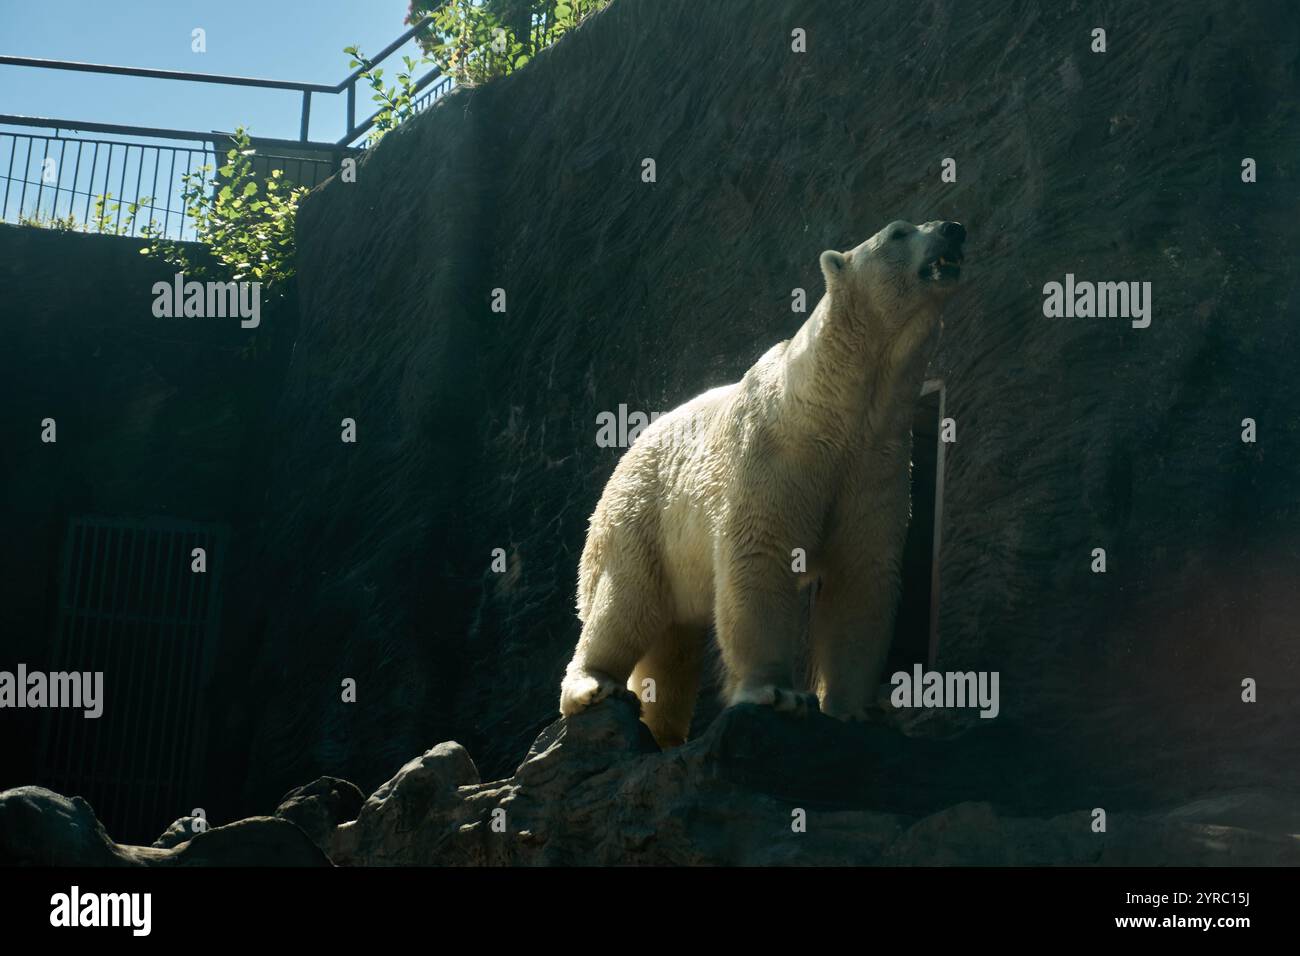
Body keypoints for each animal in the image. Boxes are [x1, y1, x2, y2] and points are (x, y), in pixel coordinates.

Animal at [560, 219, 967, 748]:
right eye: (899, 232)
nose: (953, 229)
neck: (834, 407)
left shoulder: (877, 461)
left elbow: (861, 572)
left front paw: (856, 709)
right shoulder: (777, 450)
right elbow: (761, 551)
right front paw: (776, 694)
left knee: (672, 647)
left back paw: (664, 731)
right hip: (639, 514)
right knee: (626, 599)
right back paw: (594, 685)